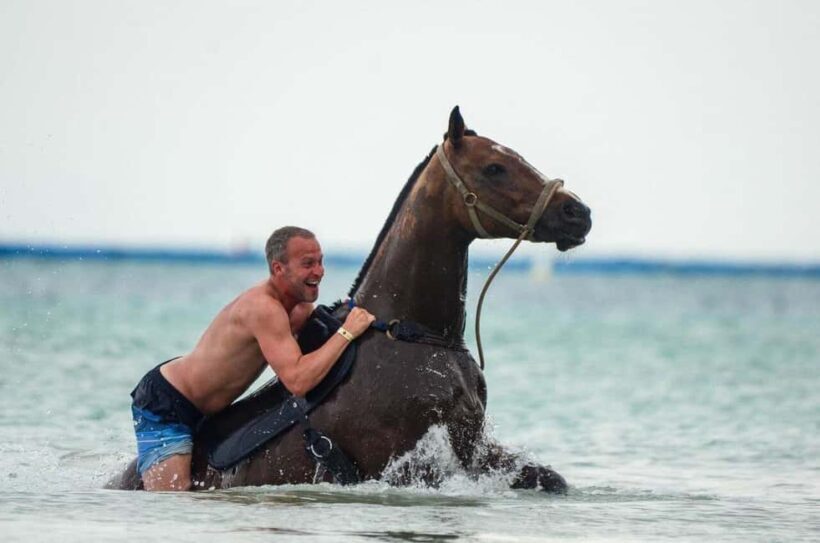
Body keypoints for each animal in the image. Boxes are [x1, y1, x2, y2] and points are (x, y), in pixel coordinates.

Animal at [109, 106, 591, 493]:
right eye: (494, 167)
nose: (578, 212)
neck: (412, 333)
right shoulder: (408, 466)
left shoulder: (476, 448)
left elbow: (551, 479)